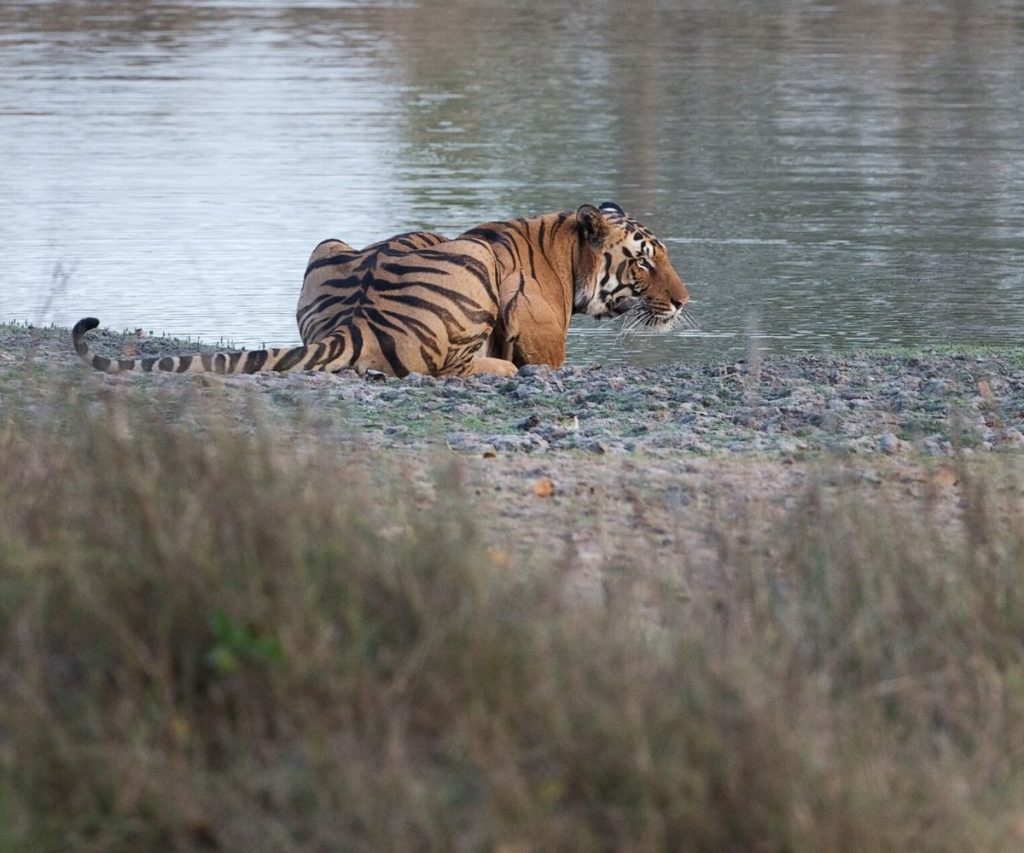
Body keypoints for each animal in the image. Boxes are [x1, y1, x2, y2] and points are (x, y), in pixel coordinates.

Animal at [72, 202, 690, 379]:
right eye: (645, 261)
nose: (685, 300)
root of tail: (356, 319)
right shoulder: (546, 345)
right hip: (471, 260)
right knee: (448, 372)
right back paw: (498, 369)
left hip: (328, 242)